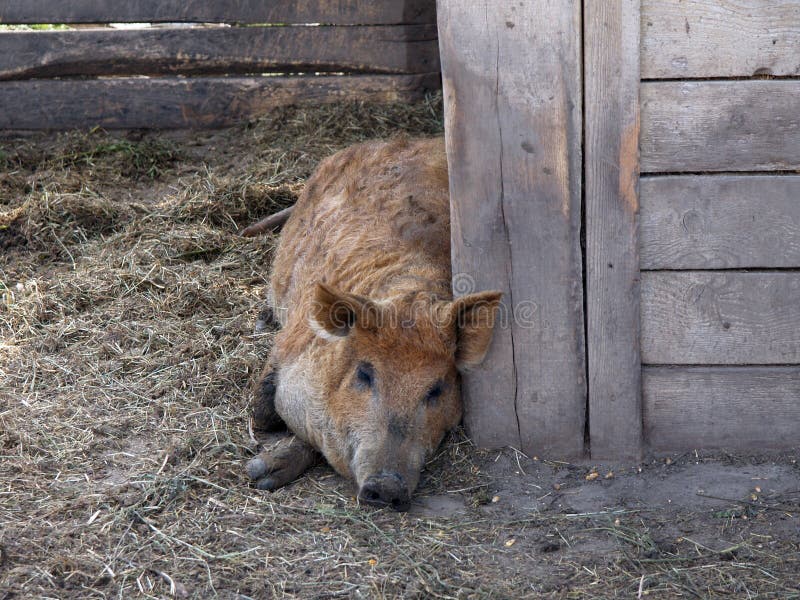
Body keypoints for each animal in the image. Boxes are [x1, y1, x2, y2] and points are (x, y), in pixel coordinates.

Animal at [246, 136, 501, 511]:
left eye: (437, 389)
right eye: (365, 374)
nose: (386, 486)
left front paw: (263, 473)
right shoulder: (284, 351)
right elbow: (261, 412)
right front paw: (259, 475)